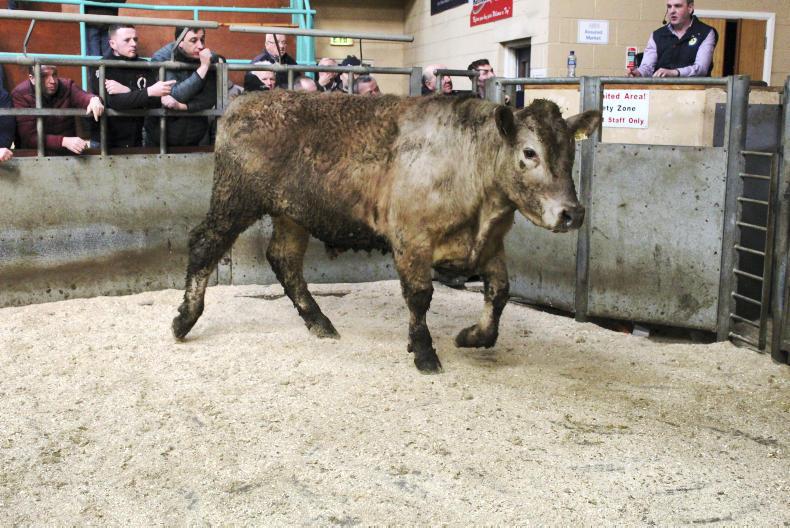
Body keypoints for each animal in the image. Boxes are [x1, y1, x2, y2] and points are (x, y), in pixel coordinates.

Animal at [172, 90, 600, 372]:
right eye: (529, 153)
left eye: (571, 153)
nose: (572, 213)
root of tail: (243, 102)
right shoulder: (412, 240)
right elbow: (420, 296)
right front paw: (424, 352)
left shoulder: (491, 244)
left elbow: (499, 293)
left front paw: (473, 336)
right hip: (235, 198)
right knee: (205, 244)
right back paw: (184, 320)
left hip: (291, 214)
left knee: (284, 260)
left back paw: (319, 321)